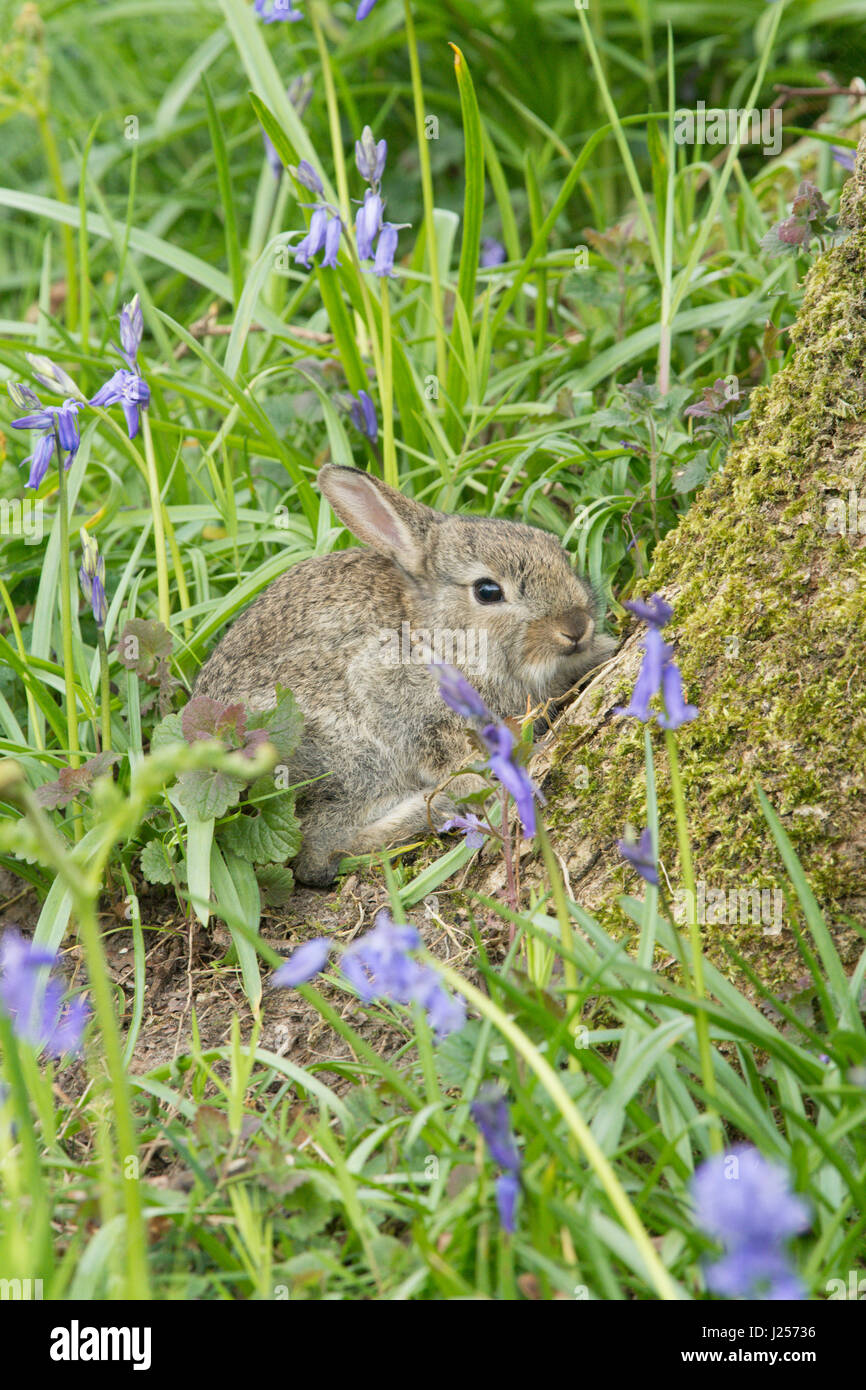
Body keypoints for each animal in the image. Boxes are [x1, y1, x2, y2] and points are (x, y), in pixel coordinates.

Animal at [193, 465, 616, 886]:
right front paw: (480, 783)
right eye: (487, 591)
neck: (439, 635)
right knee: (318, 852)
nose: (575, 627)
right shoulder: (395, 695)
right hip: (337, 753)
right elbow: (449, 757)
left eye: (560, 552)